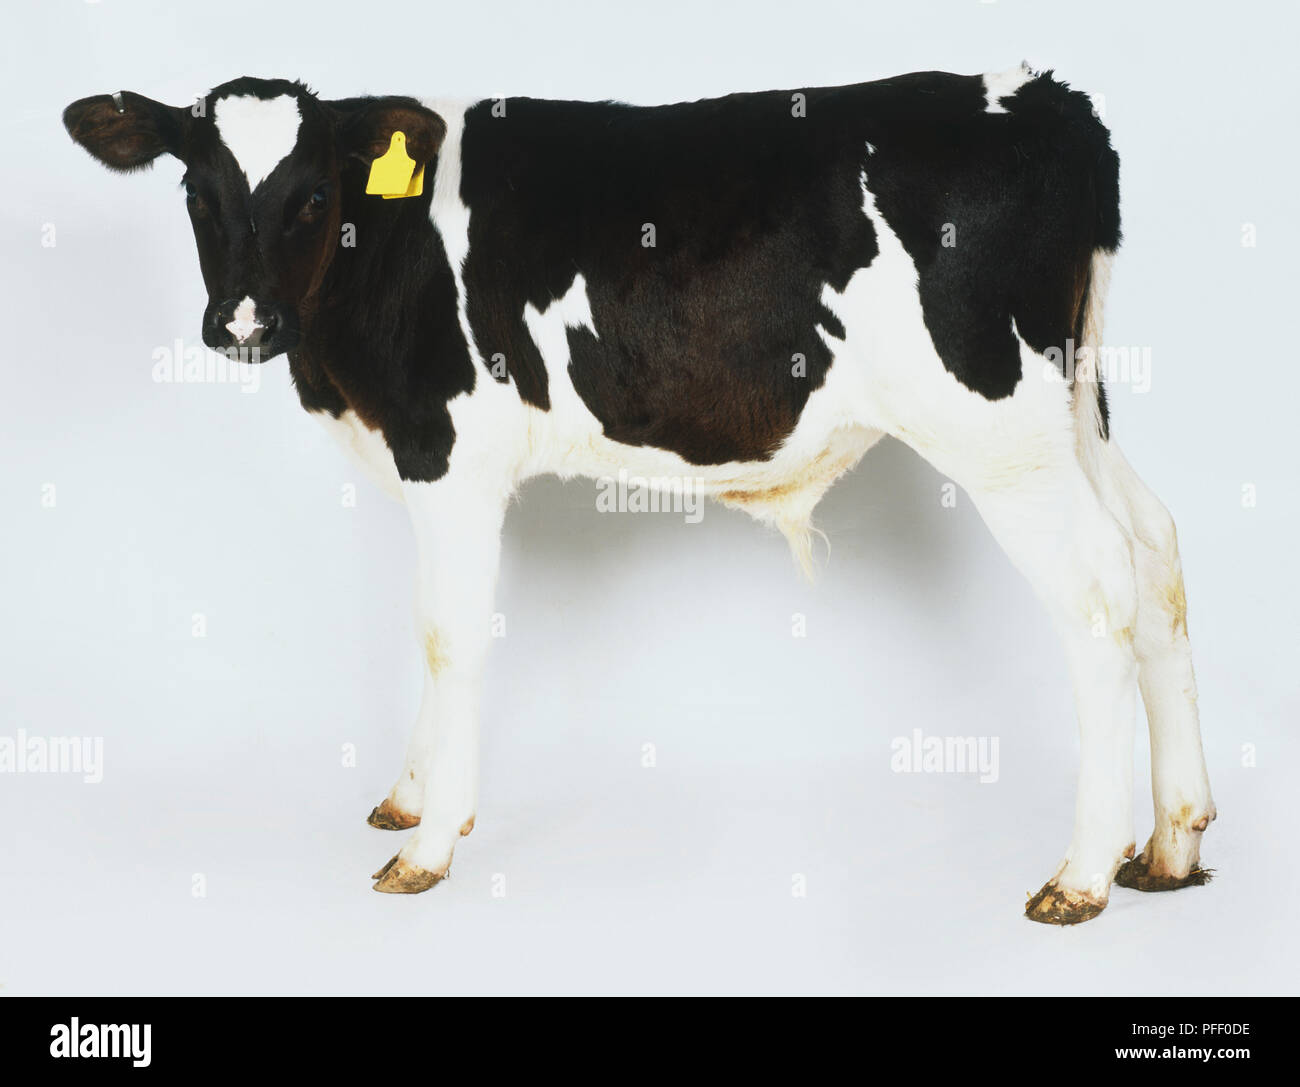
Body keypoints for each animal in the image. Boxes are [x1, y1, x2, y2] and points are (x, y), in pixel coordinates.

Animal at [62, 64, 1215, 924]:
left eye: (311, 196)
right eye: (195, 192)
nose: (242, 324)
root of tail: (1045, 96)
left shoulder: (450, 454)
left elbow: (446, 633)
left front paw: (429, 843)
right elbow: (431, 631)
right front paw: (409, 798)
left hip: (1000, 428)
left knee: (1098, 592)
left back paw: (1082, 874)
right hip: (1075, 404)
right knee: (1155, 547)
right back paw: (1169, 844)